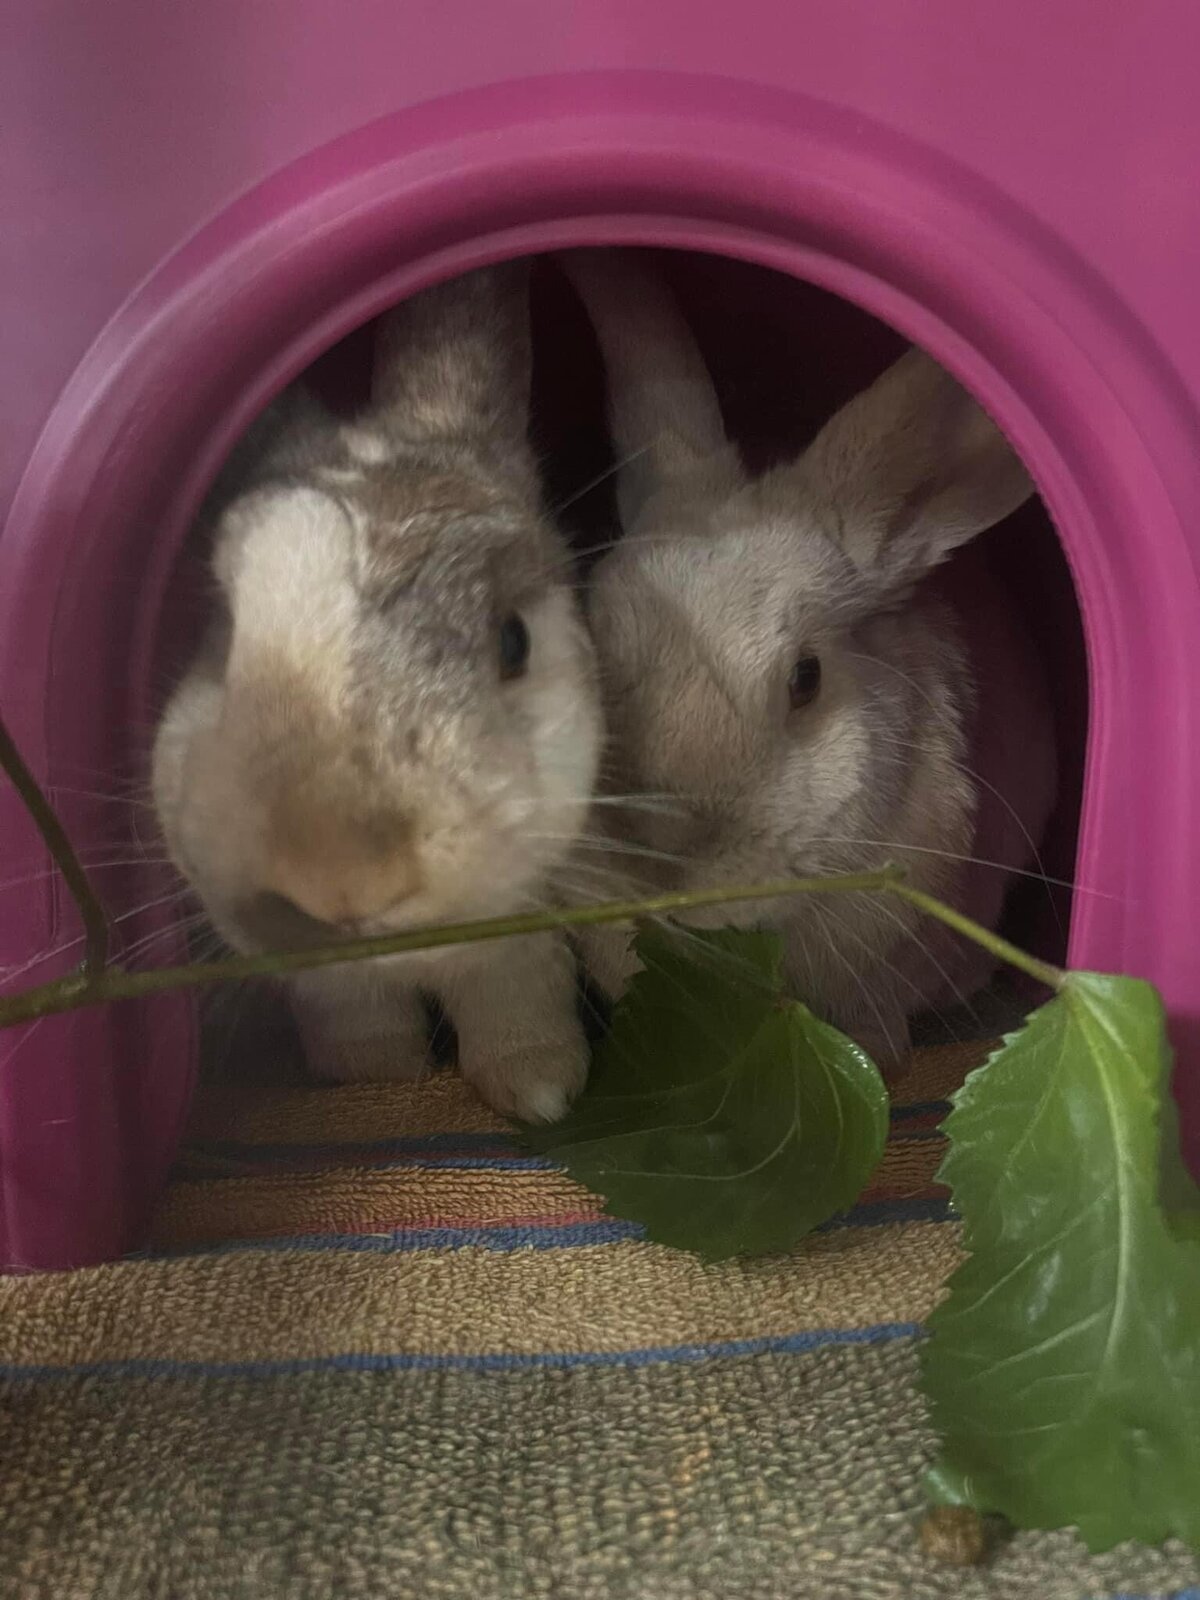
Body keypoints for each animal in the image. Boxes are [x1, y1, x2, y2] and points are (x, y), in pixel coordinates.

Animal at [152, 261, 603, 1122]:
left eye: (513, 641)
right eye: (224, 633)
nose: (341, 876)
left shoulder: (517, 942)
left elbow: (518, 1009)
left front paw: (543, 1093)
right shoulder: (332, 988)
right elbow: (362, 1028)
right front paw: (375, 1077)